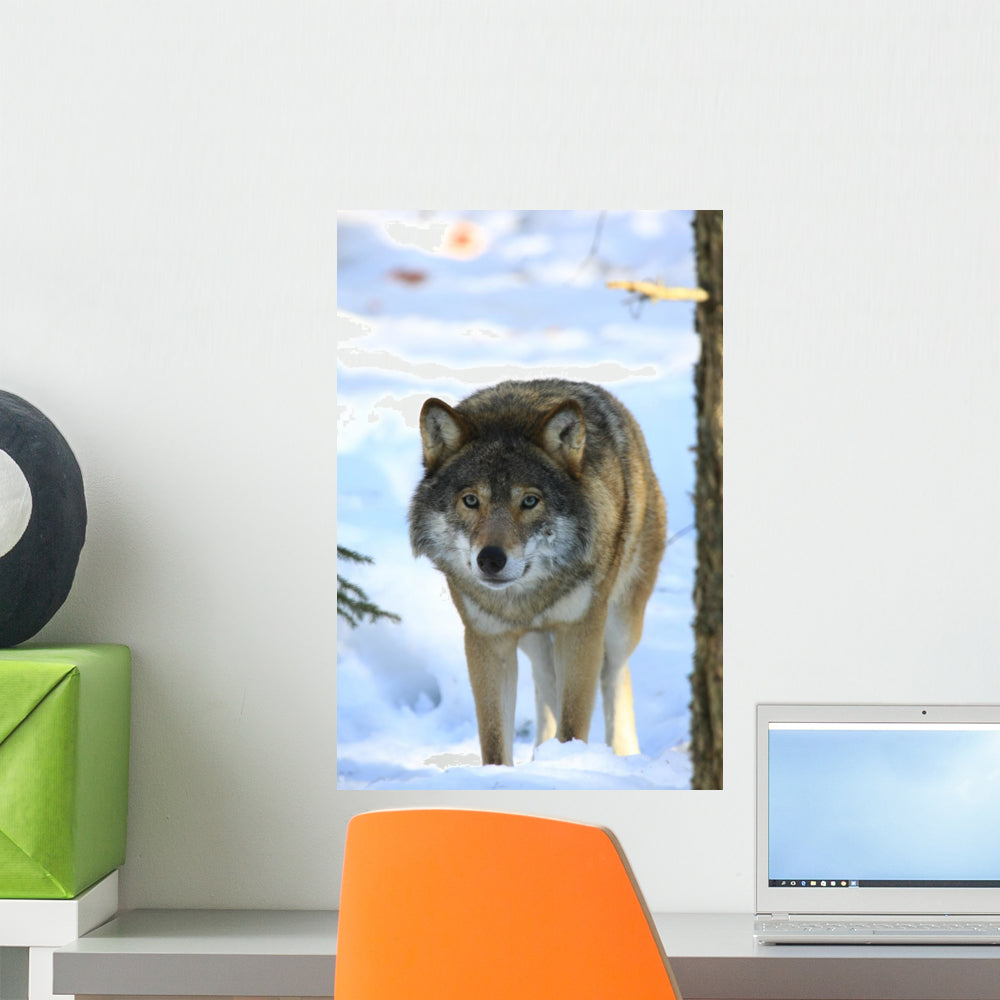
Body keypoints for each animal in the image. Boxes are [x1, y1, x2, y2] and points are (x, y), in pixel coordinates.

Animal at [408, 378, 667, 766]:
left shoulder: (581, 630)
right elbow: (495, 740)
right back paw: (542, 756)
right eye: (471, 500)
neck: (528, 596)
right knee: (546, 684)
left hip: (620, 625)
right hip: (536, 642)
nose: (490, 559)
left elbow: (574, 723)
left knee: (617, 676)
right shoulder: (487, 639)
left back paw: (622, 754)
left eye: (530, 501)